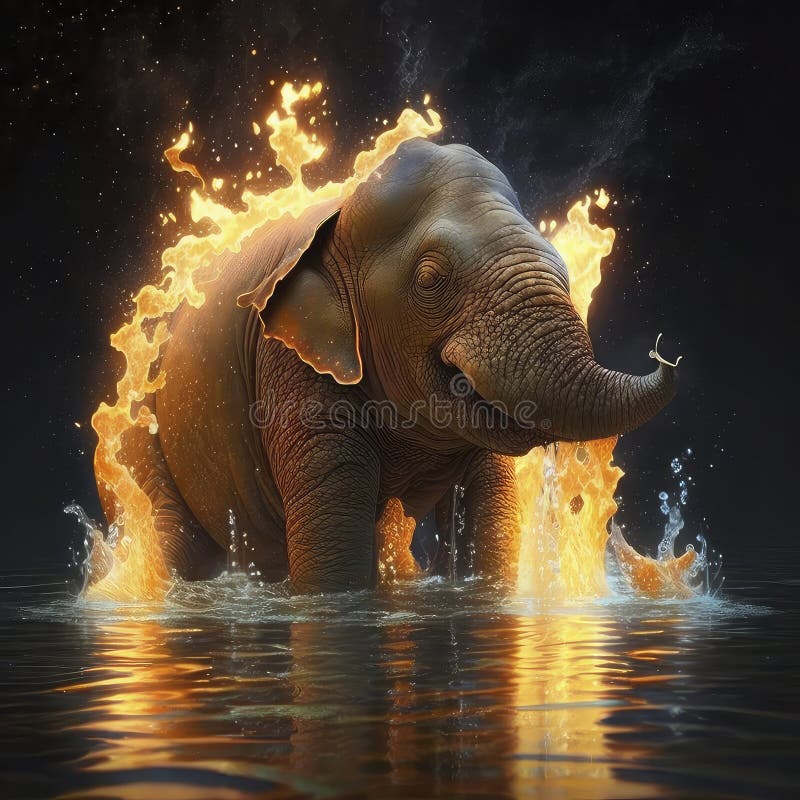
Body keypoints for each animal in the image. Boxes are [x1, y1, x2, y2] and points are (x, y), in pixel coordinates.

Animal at [96, 139, 678, 592]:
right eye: (430, 278)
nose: (664, 353)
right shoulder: (286, 359)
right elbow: (337, 500)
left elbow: (491, 497)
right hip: (138, 441)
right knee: (173, 536)